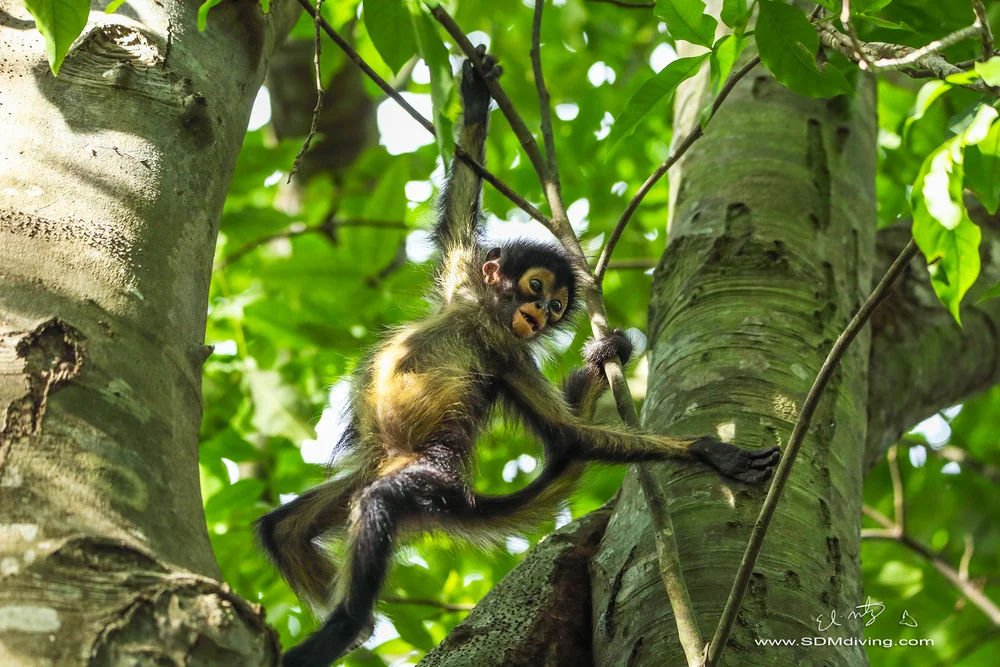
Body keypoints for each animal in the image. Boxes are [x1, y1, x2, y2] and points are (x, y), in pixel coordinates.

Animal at [256, 47, 781, 667]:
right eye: (535, 289)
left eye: (555, 309)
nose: (539, 314)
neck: (480, 317)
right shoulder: (464, 281)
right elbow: (461, 203)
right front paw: (476, 95)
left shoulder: (507, 355)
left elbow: (569, 434)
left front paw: (708, 451)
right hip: (367, 477)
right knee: (282, 529)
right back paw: (349, 628)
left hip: (431, 477)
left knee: (380, 502)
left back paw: (347, 627)